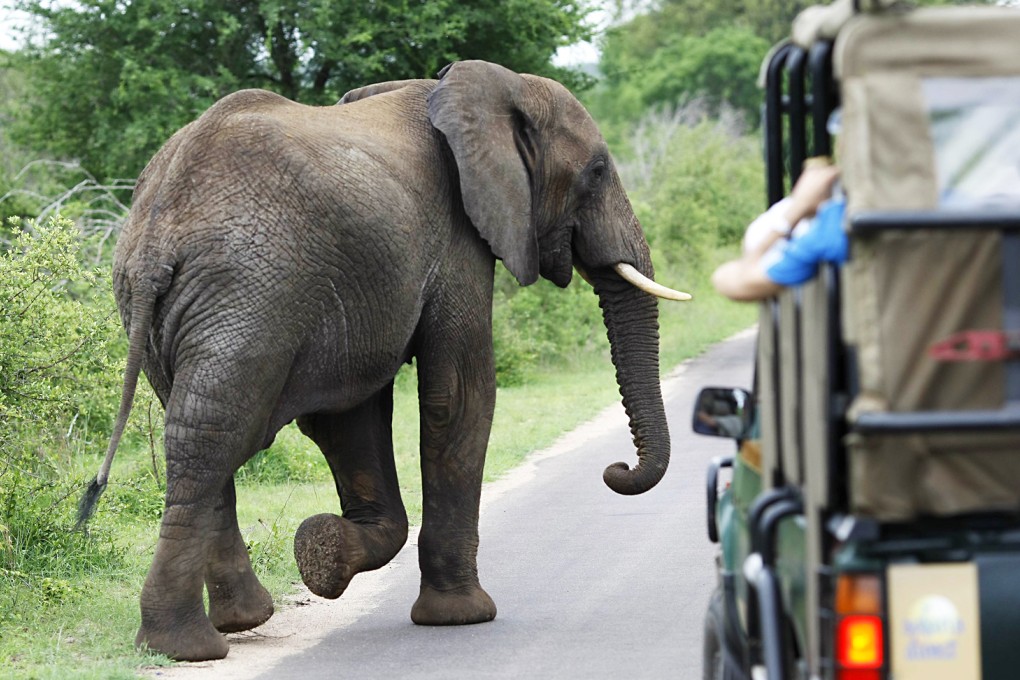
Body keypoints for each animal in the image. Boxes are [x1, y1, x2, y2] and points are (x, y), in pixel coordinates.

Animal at [79, 59, 690, 662]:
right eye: (597, 171)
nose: (616, 469)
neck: (477, 88)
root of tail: (156, 236)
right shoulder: (457, 238)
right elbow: (459, 394)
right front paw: (461, 617)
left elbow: (350, 417)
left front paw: (322, 553)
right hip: (247, 291)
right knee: (213, 436)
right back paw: (189, 644)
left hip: (168, 306)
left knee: (199, 432)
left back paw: (236, 622)